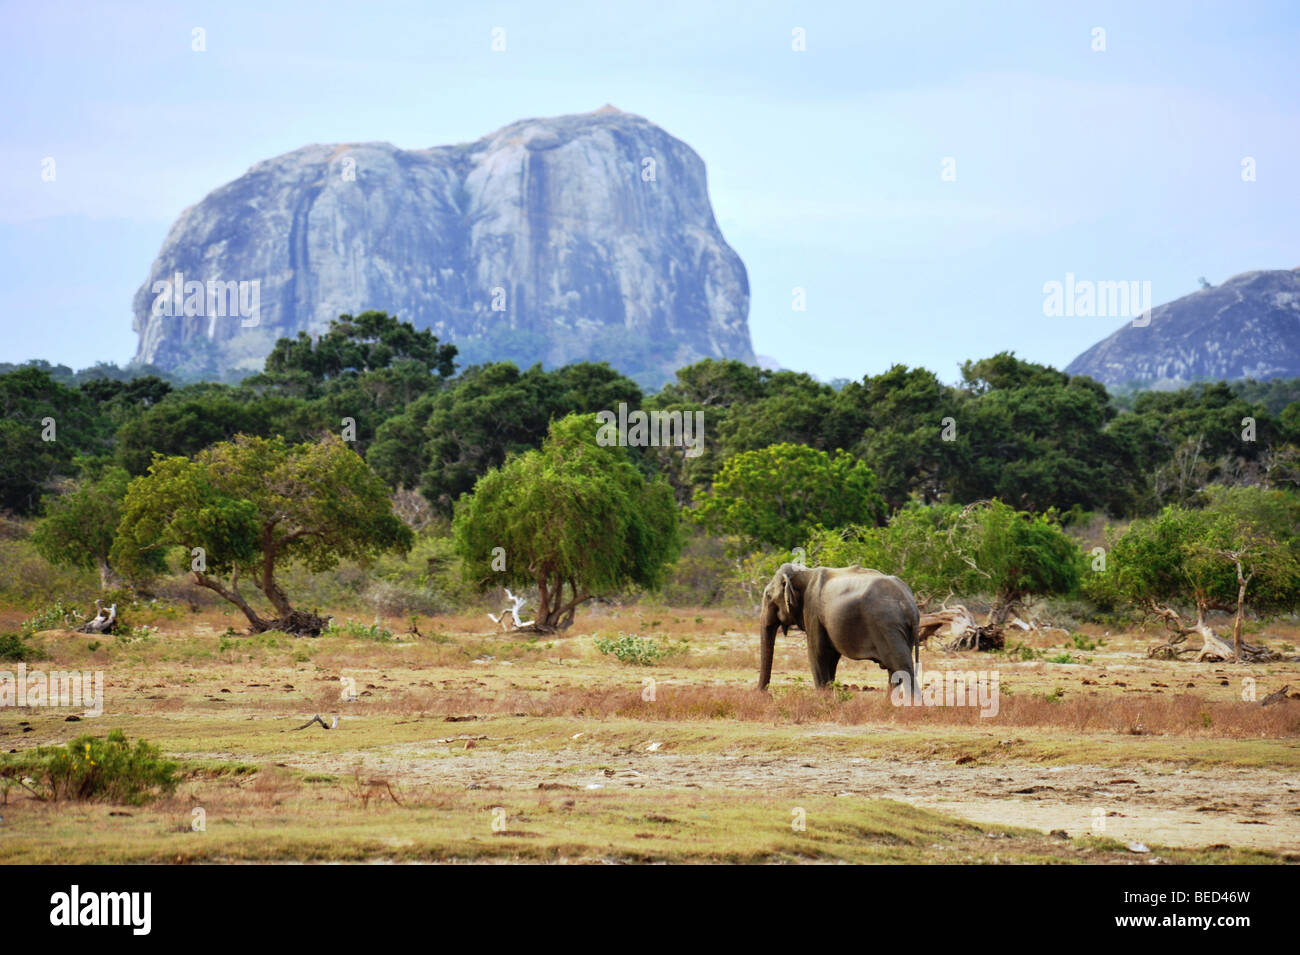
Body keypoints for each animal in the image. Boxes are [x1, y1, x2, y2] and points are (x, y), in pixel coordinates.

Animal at [758, 563, 920, 694]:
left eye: (768, 596)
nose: (766, 696)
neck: (805, 572)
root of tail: (910, 605)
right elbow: (832, 657)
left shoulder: (812, 611)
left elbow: (817, 653)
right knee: (895, 671)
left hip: (887, 626)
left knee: (902, 667)